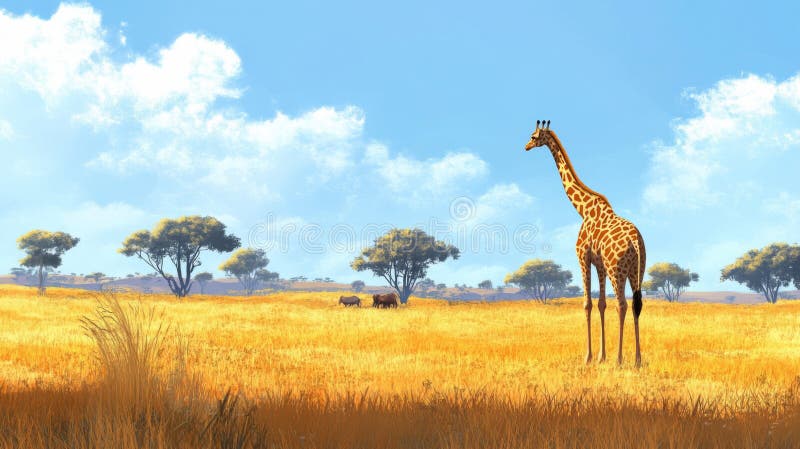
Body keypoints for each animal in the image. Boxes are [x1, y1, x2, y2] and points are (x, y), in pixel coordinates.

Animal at [524, 120, 646, 367]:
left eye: (533, 136)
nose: (525, 146)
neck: (584, 209)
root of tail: (636, 242)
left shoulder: (583, 257)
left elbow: (587, 304)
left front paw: (589, 357)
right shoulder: (599, 264)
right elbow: (601, 304)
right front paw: (600, 356)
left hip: (617, 270)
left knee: (622, 305)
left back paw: (620, 360)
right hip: (636, 271)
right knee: (636, 305)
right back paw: (637, 360)